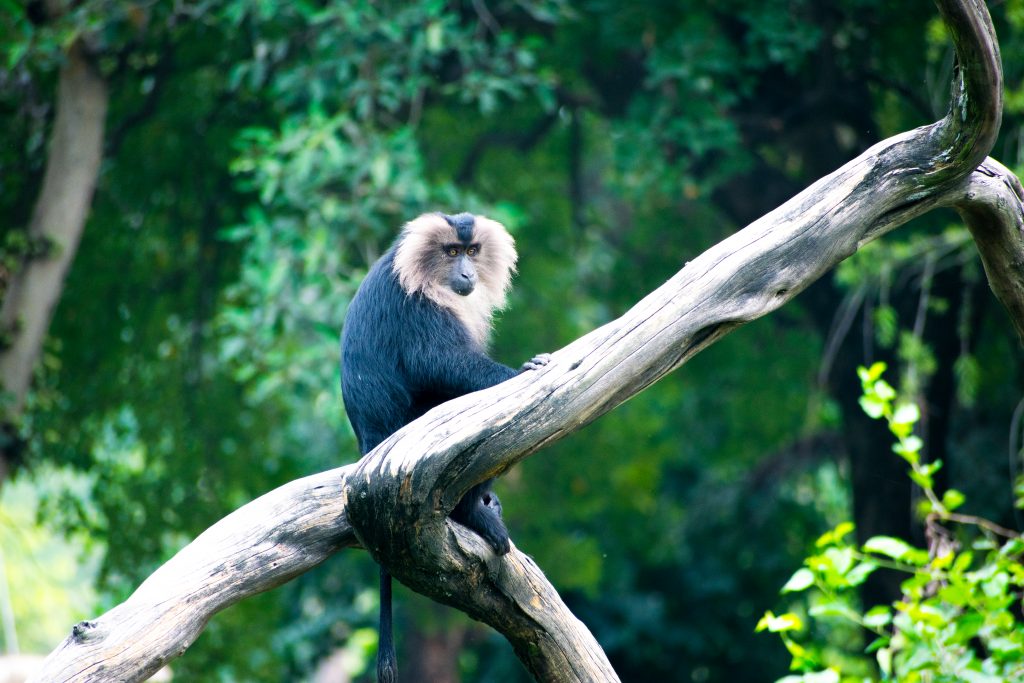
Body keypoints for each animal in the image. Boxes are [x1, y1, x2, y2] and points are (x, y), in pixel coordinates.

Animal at [340, 211, 549, 683]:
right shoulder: (413, 304)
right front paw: (521, 370)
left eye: (471, 251)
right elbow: (438, 362)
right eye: (451, 252)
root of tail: (368, 450)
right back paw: (472, 512)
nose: (466, 273)